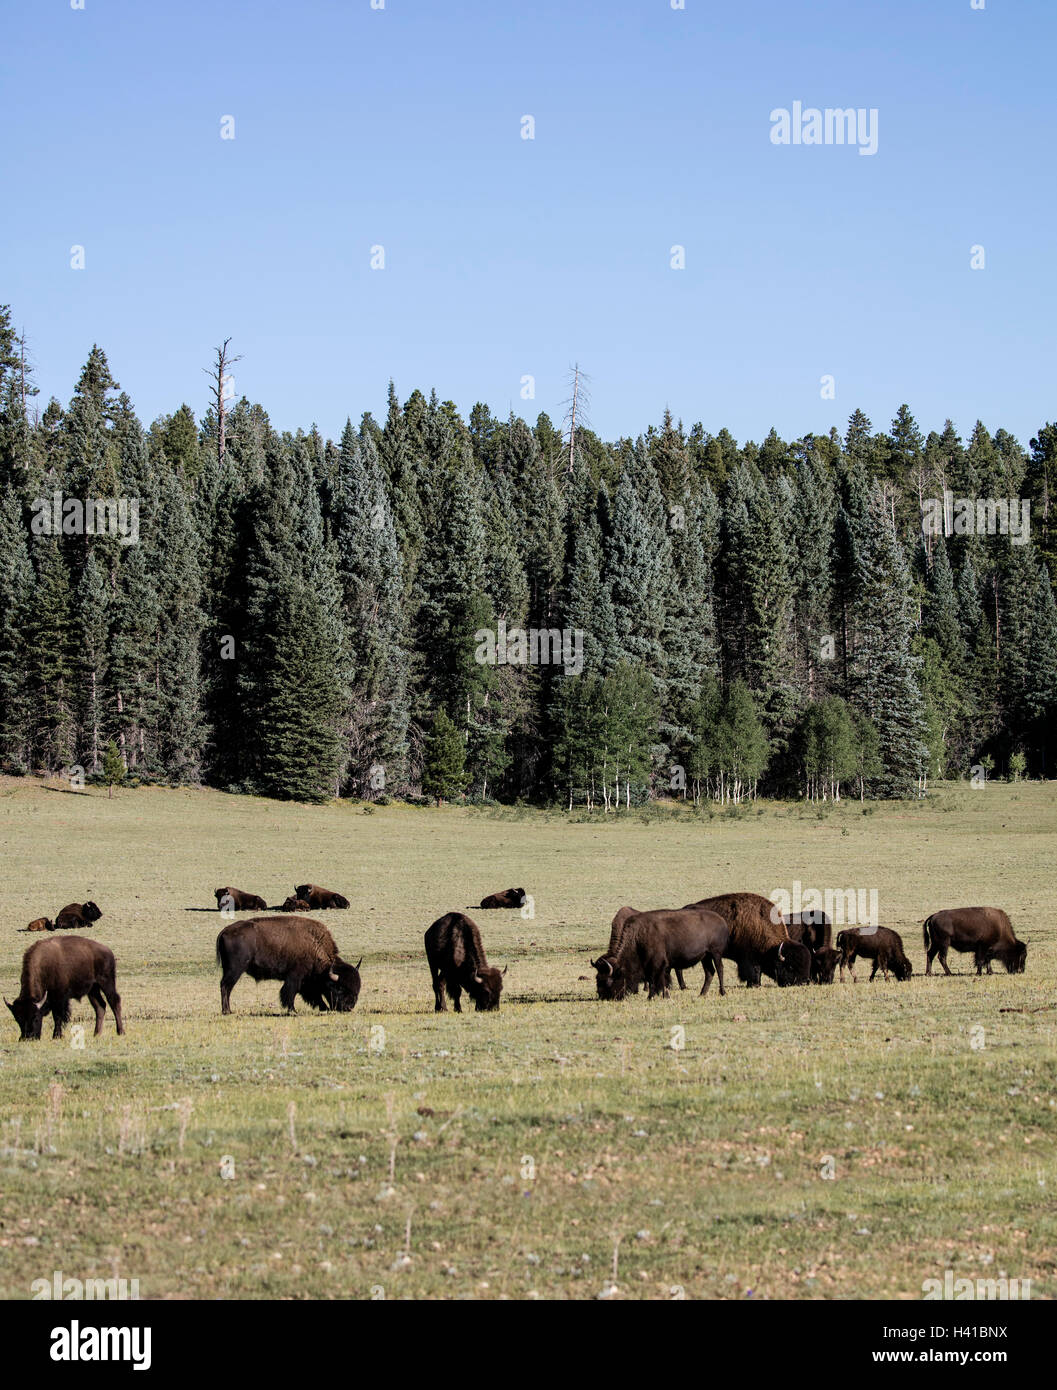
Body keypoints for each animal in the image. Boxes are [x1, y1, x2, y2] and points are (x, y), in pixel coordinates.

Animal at [217, 916, 361, 1015]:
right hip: (235, 969)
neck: (314, 944)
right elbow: (290, 993)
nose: (349, 1007)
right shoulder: (295, 977)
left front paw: (323, 1008)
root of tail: (225, 931)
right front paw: (293, 1010)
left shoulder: (307, 982)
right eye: (339, 988)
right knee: (226, 986)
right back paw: (227, 1011)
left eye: (357, 988)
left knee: (225, 987)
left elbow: (313, 996)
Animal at [592, 907, 729, 1001]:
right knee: (709, 972)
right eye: (597, 978)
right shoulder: (660, 966)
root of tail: (721, 920)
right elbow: (662, 980)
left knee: (720, 969)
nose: (603, 997)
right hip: (705, 957)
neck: (638, 938)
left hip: (715, 953)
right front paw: (664, 996)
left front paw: (651, 997)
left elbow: (656, 980)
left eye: (609, 981)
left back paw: (722, 992)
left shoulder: (657, 964)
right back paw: (702, 994)